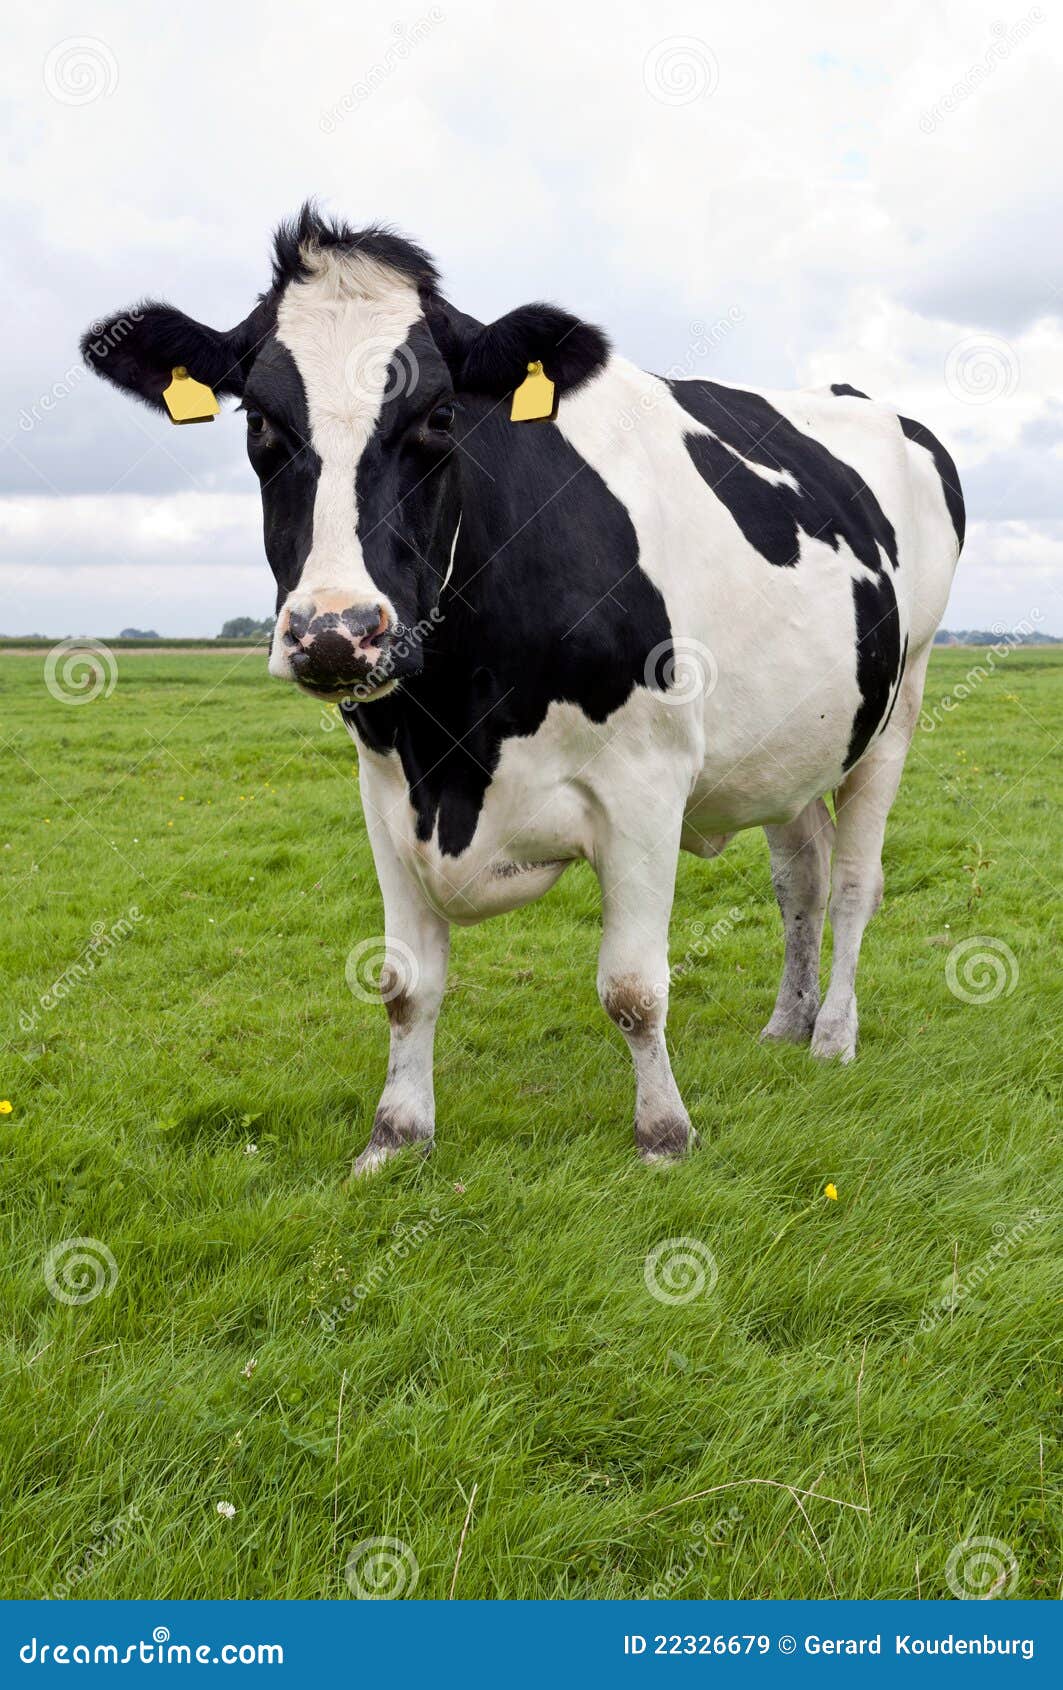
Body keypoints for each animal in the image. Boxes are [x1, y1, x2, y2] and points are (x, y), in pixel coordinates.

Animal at [82, 204, 964, 1175]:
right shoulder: (385, 792)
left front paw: (663, 1134)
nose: (335, 632)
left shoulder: (644, 783)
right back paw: (786, 1023)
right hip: (790, 740)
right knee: (798, 876)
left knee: (851, 882)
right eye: (260, 422)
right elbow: (404, 983)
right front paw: (395, 1137)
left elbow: (633, 988)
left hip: (896, 706)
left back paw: (833, 1035)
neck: (451, 736)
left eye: (438, 415)